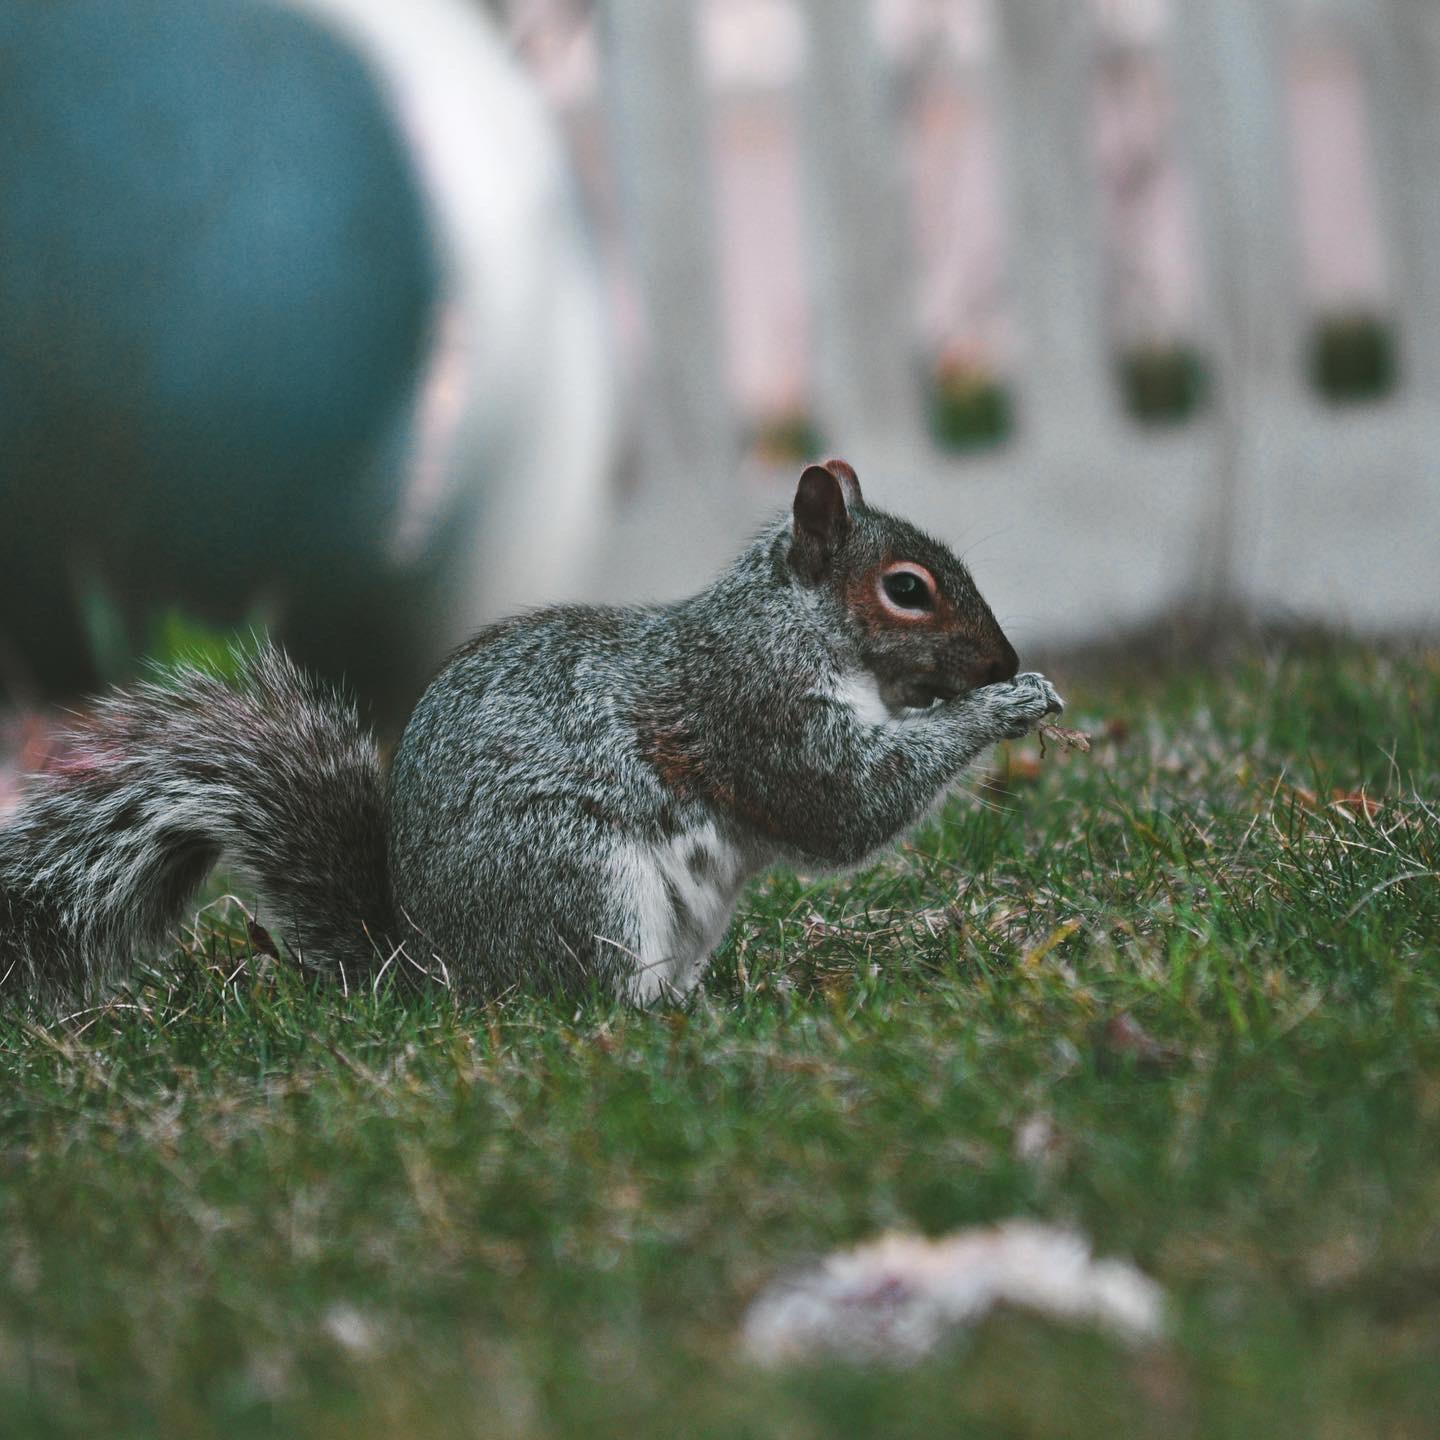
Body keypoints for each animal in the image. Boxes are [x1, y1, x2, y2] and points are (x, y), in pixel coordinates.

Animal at [0, 460, 1063, 1004]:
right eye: (907, 590)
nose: (1002, 659)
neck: (791, 624)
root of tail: (432, 969)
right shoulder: (755, 709)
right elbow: (846, 809)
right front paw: (1006, 708)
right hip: (579, 877)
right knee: (586, 1002)